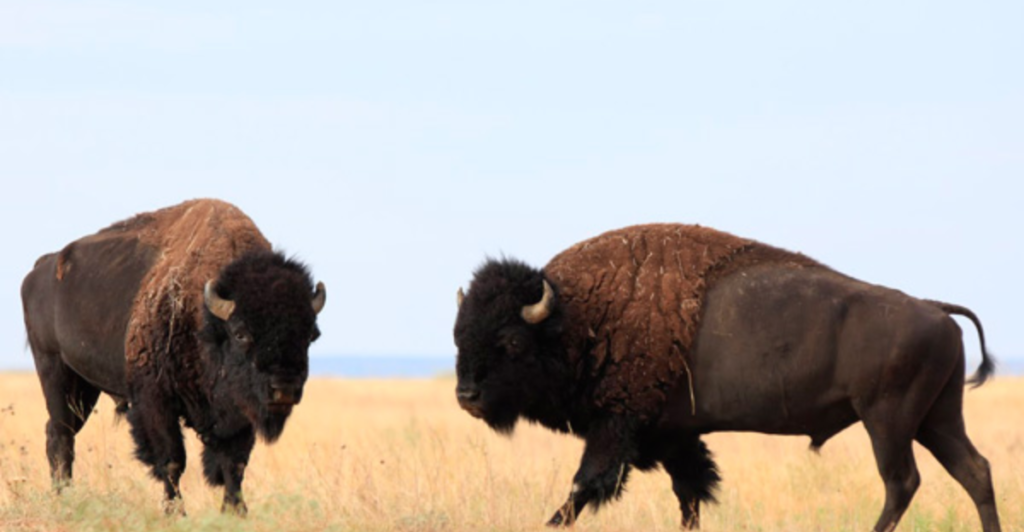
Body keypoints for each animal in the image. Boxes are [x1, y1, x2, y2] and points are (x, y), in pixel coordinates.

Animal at [21, 199, 326, 514]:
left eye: (310, 335)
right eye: (241, 333)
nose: (284, 388)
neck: (204, 318)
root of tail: (41, 268)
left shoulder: (237, 413)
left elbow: (234, 463)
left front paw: (235, 511)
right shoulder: (156, 401)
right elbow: (172, 461)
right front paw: (176, 513)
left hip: (84, 388)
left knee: (57, 431)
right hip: (54, 370)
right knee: (61, 435)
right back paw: (63, 496)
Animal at [453, 223, 999, 532]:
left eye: (511, 343)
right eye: (459, 335)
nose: (467, 394)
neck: (580, 318)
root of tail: (935, 309)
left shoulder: (616, 430)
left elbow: (583, 487)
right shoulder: (674, 437)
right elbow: (690, 494)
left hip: (887, 421)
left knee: (901, 482)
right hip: (936, 418)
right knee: (974, 470)